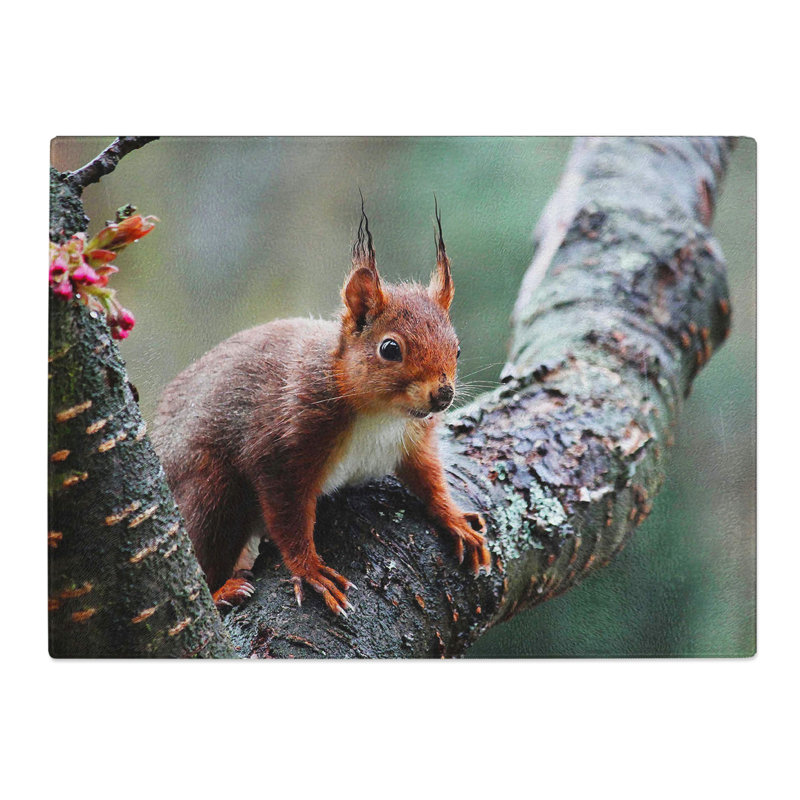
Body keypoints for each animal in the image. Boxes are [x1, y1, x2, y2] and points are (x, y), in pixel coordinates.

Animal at [152, 201, 491, 617]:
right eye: (390, 348)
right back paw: (222, 592)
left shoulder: (414, 441)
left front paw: (454, 518)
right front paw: (310, 570)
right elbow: (288, 517)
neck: (381, 415)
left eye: (457, 349)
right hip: (210, 491)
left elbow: (428, 478)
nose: (443, 395)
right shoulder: (283, 444)